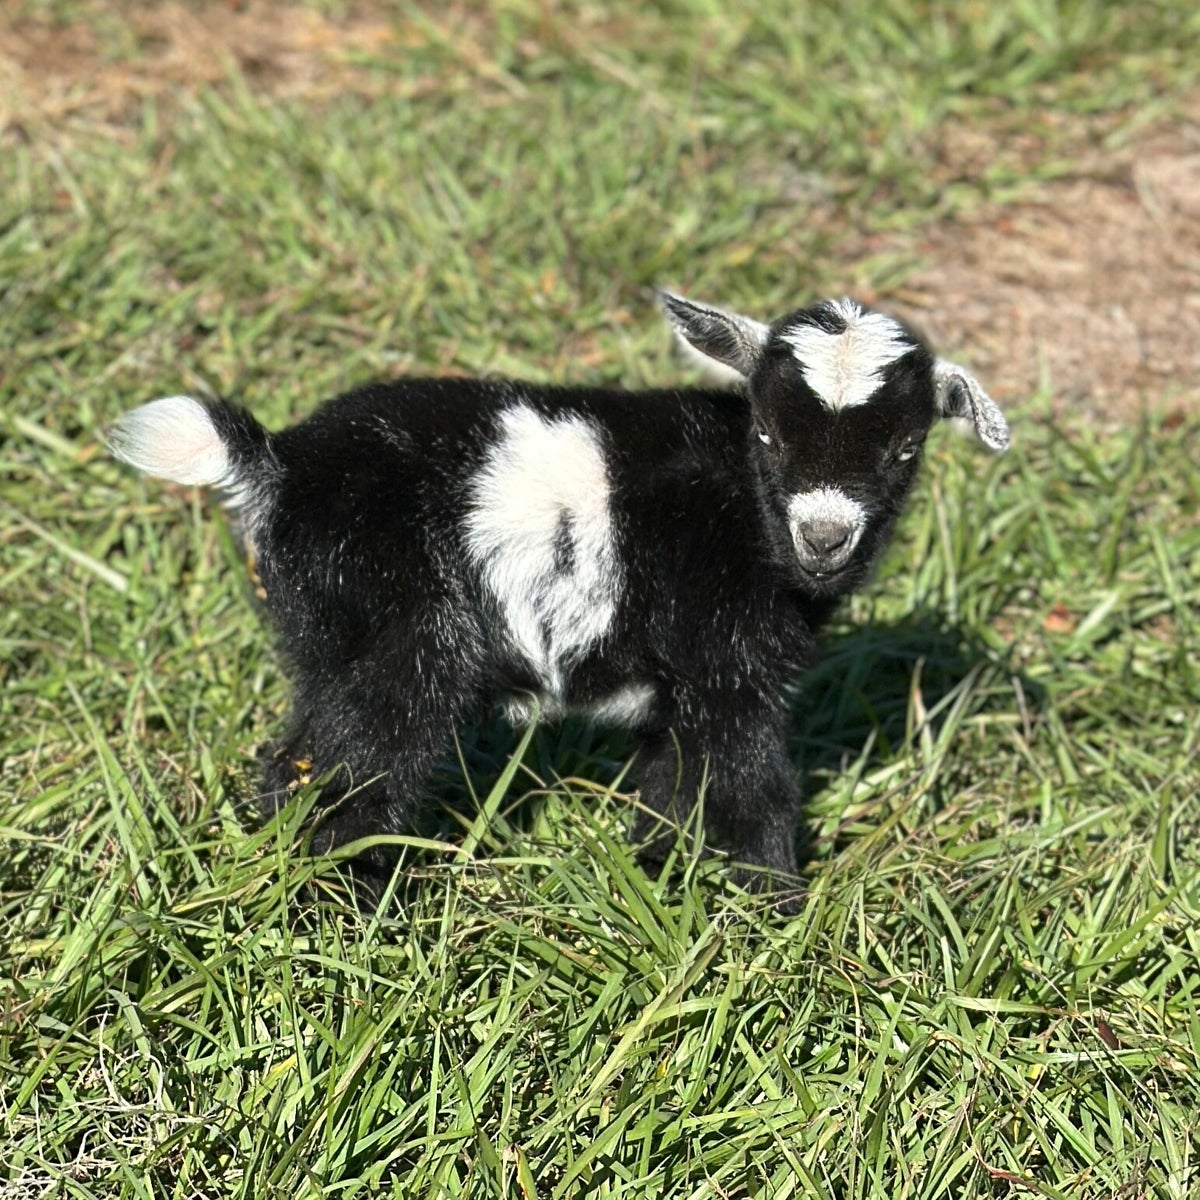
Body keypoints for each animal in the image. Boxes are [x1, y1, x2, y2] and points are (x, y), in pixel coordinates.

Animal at [108, 293, 1008, 900]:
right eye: (769, 433)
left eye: (903, 449)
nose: (824, 539)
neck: (743, 511)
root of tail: (280, 462)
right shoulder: (729, 668)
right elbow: (751, 787)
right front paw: (774, 909)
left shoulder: (682, 685)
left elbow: (674, 790)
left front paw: (663, 883)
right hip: (399, 619)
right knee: (359, 761)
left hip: (324, 628)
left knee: (300, 758)